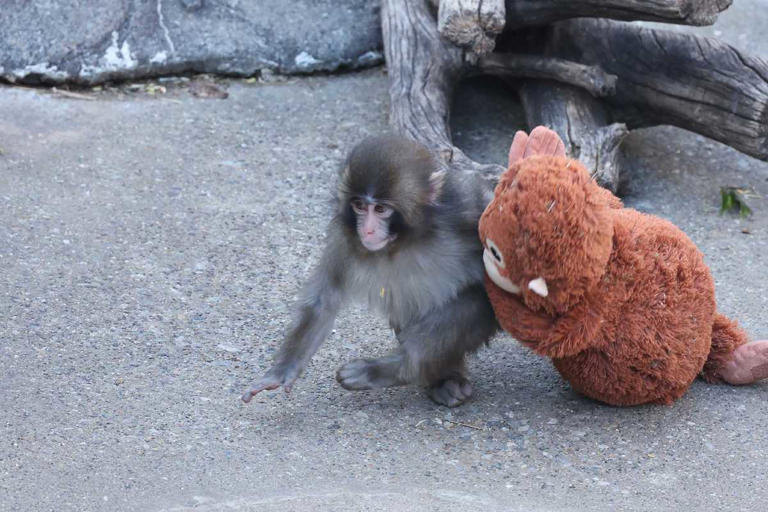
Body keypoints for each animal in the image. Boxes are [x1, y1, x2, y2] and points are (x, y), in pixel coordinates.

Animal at [241, 135, 498, 407]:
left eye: (381, 209)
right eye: (359, 206)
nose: (368, 230)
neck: (406, 240)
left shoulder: (467, 209)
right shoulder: (344, 238)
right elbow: (324, 300)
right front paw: (282, 371)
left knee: (472, 302)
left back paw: (394, 369)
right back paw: (441, 379)